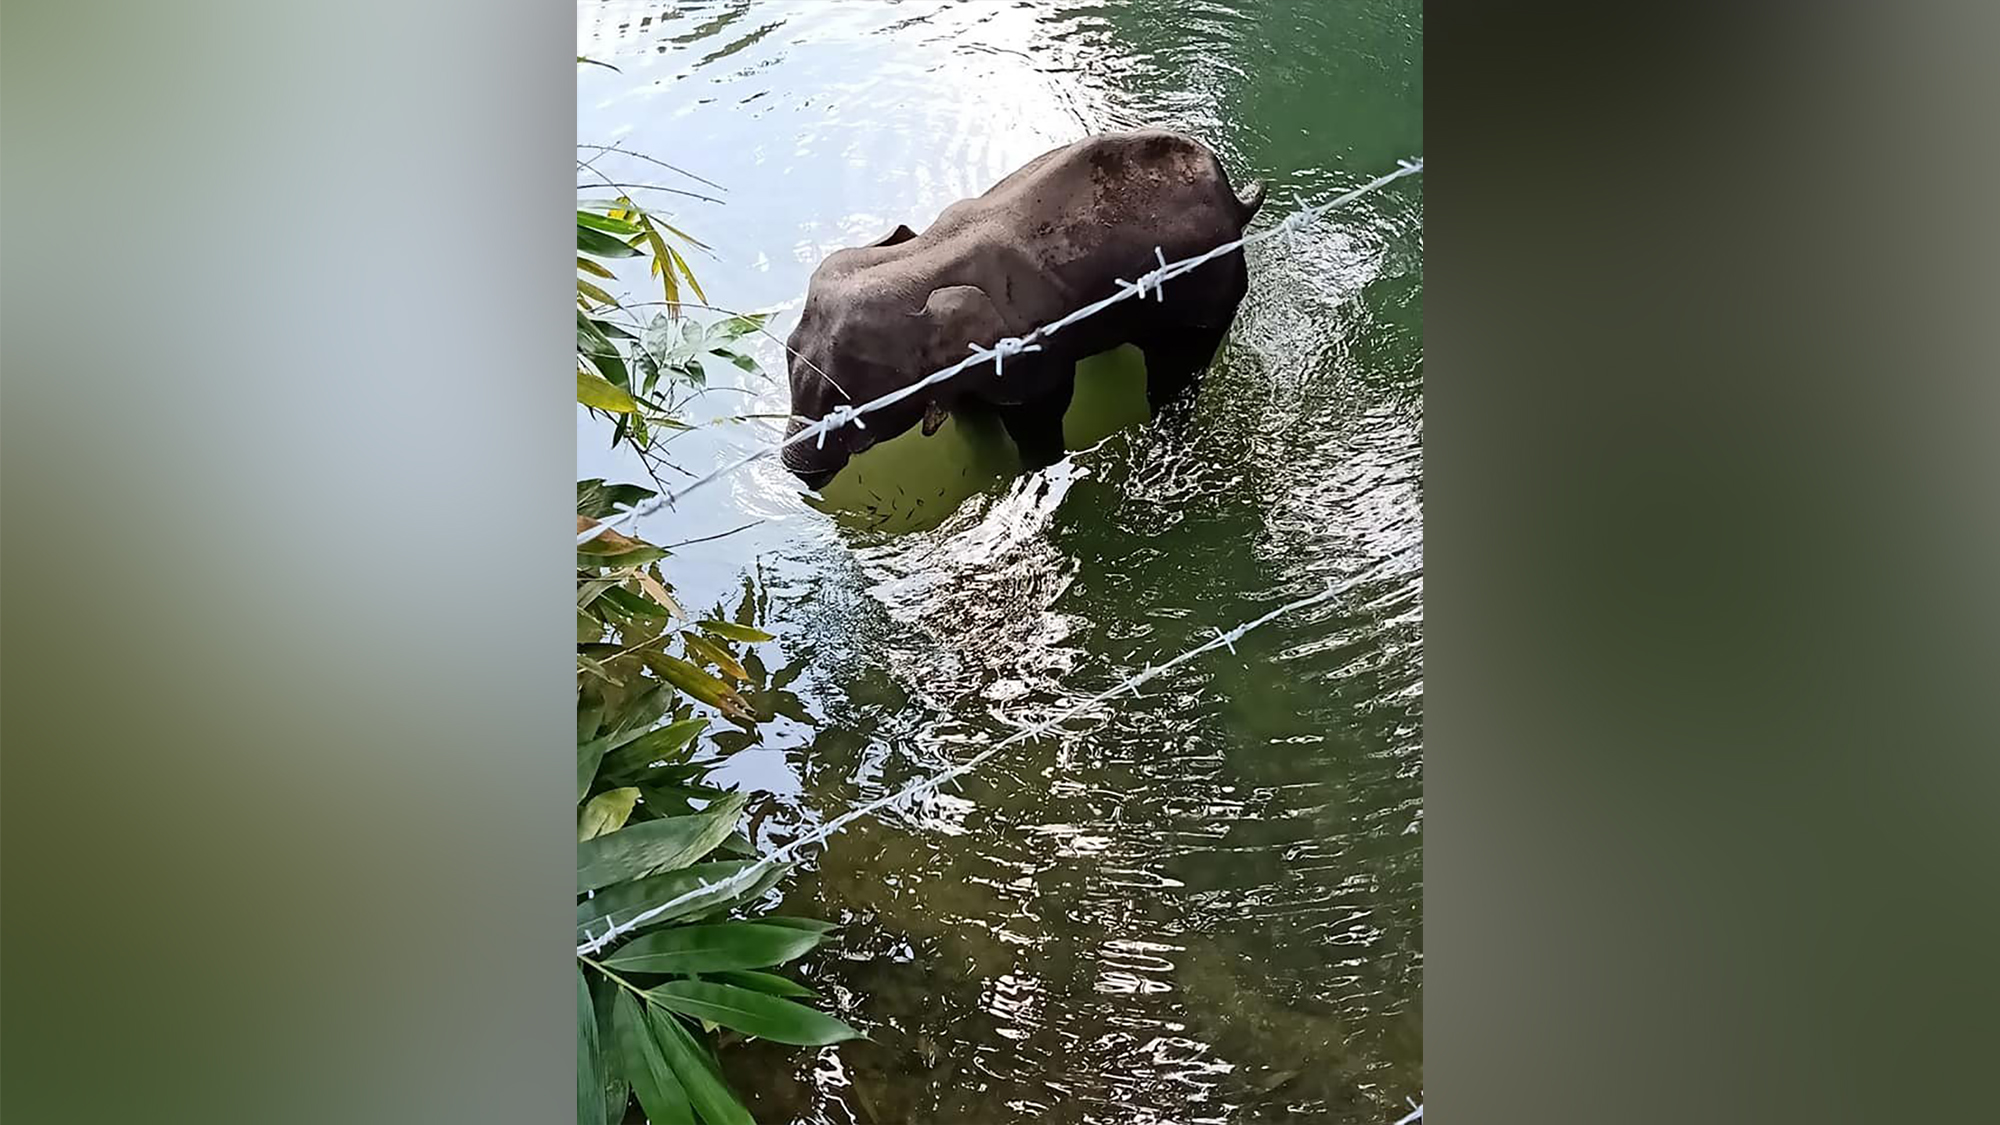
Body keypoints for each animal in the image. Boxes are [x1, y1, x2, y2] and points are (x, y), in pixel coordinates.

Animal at [780, 128, 1267, 490]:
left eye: (850, 405)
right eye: (788, 350)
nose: (796, 471)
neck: (925, 258)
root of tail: (1236, 201)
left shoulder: (1028, 353)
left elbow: (1042, 413)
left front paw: (1032, 472)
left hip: (1209, 289)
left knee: (1176, 372)